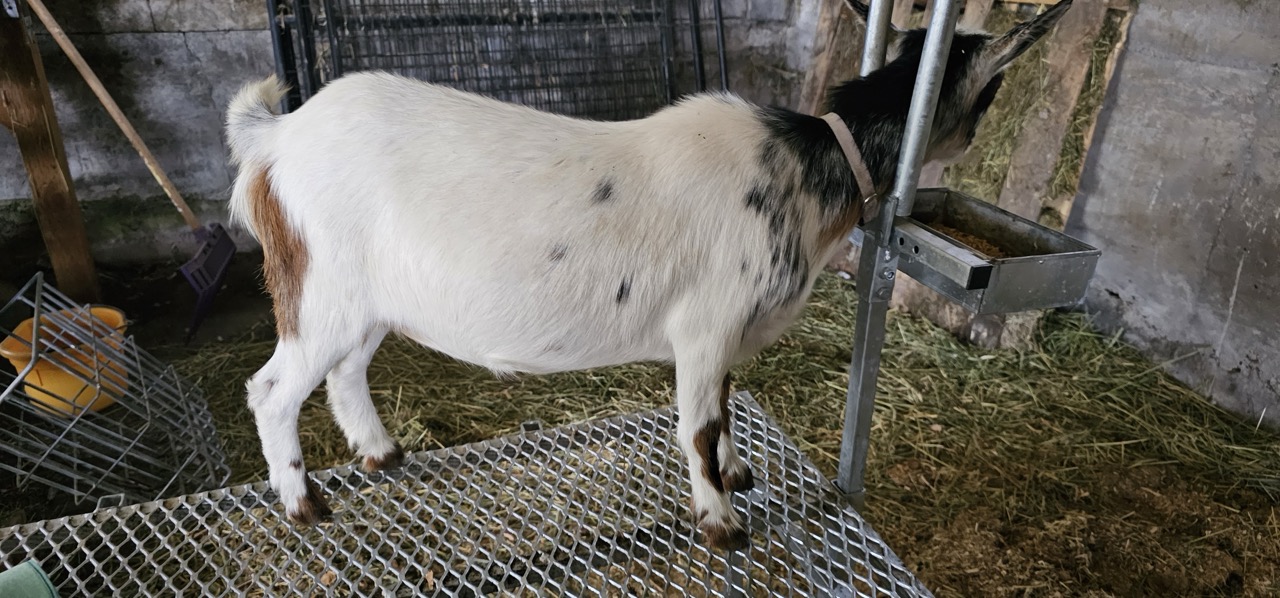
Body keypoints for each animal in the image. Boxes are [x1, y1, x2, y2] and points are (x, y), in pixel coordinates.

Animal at [224, 0, 1071, 551]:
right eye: (991, 88)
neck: (804, 168)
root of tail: (278, 136)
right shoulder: (706, 324)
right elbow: (697, 425)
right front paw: (722, 522)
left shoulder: (724, 338)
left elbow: (723, 407)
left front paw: (739, 474)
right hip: (319, 289)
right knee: (273, 389)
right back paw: (303, 503)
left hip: (364, 301)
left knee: (345, 374)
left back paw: (382, 453)